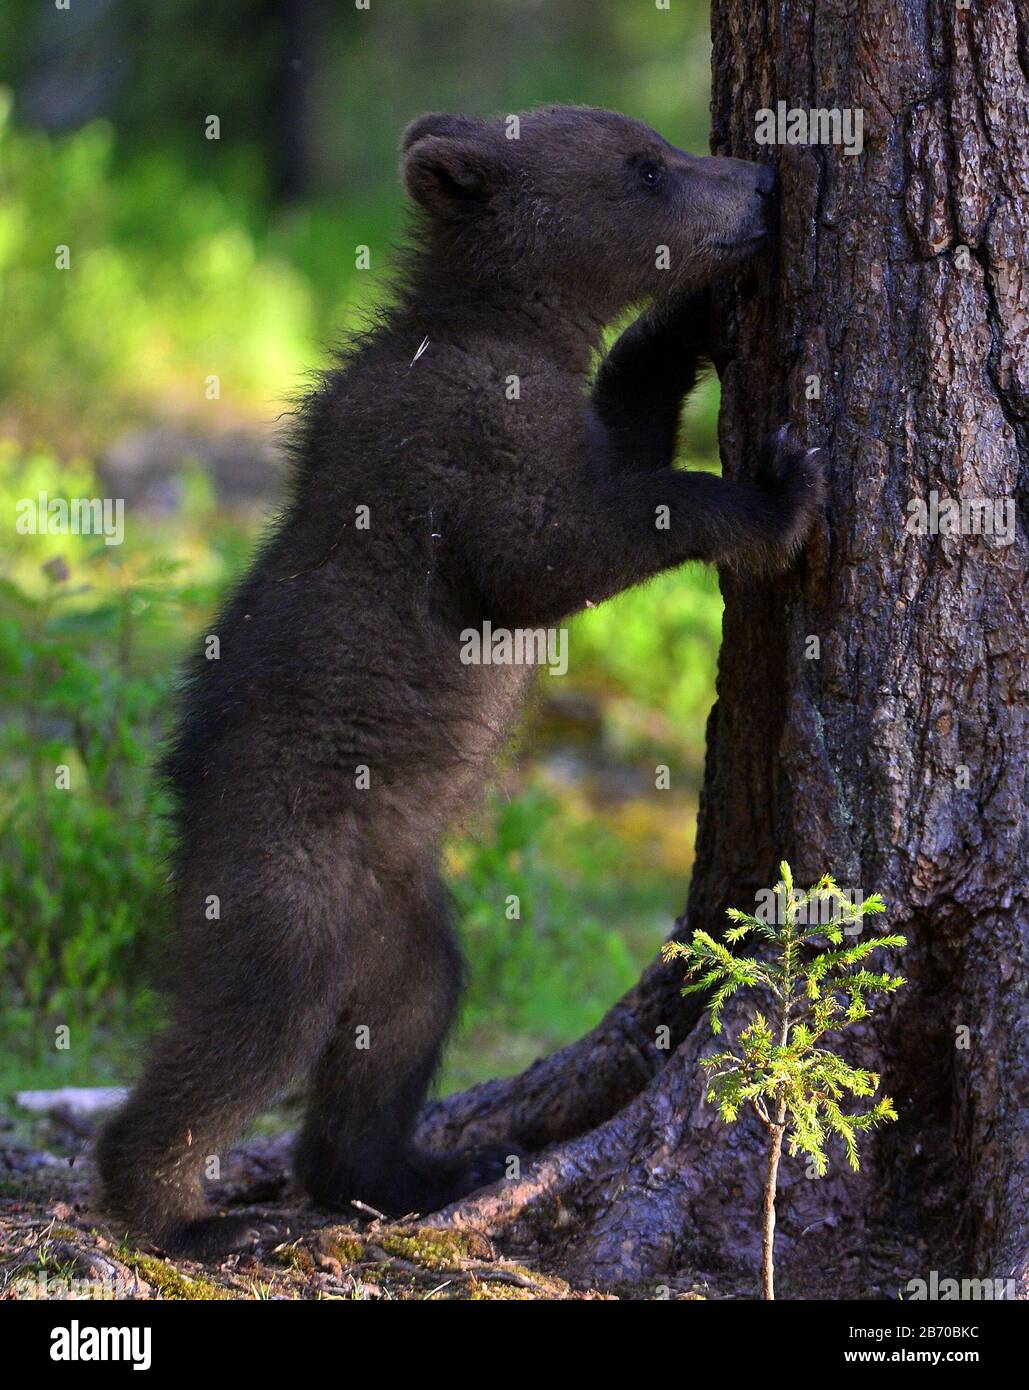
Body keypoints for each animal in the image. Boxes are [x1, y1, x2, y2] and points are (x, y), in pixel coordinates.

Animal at [96, 105, 824, 1257]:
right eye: (645, 167)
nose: (758, 184)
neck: (509, 328)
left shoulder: (552, 424)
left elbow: (618, 437)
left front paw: (682, 323)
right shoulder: (456, 446)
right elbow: (551, 554)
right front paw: (776, 490)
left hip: (404, 921)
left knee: (398, 1030)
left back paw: (416, 1169)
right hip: (284, 873)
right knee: (248, 1032)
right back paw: (182, 1217)